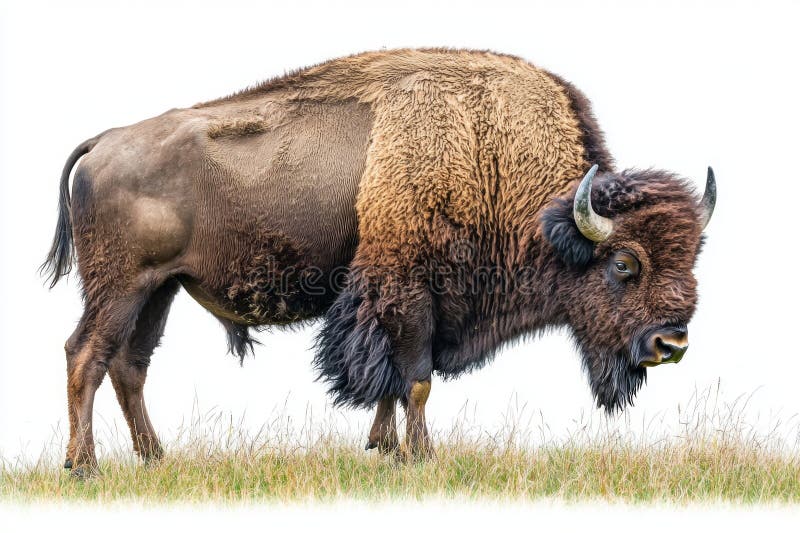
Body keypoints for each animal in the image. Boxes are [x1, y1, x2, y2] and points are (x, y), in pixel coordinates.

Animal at [42, 48, 714, 473]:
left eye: (693, 256)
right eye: (624, 264)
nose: (672, 343)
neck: (493, 162)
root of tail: (103, 142)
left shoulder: (405, 303)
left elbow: (393, 380)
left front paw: (383, 448)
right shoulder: (409, 291)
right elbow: (415, 378)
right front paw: (421, 456)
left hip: (160, 290)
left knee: (129, 365)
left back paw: (154, 458)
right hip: (120, 287)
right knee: (85, 355)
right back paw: (84, 466)